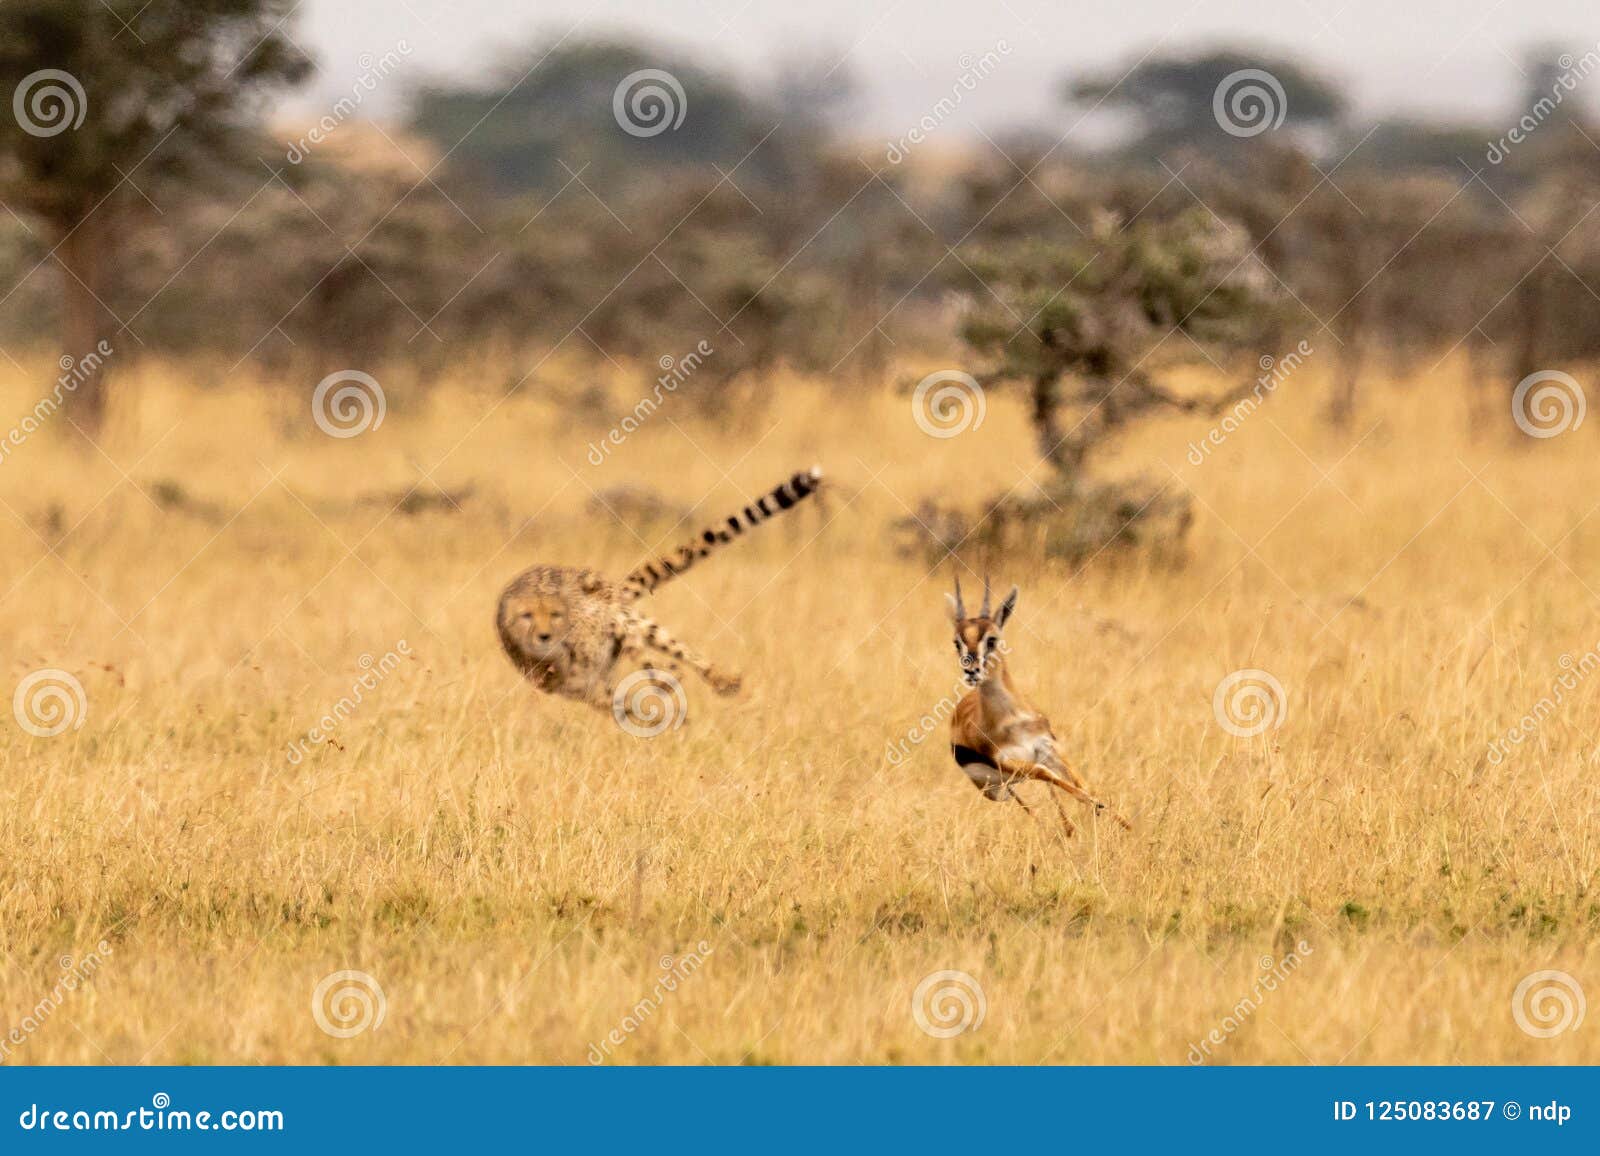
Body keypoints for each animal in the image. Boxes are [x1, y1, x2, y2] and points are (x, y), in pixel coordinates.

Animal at [946, 574, 1132, 835]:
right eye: (957, 642)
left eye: (991, 639)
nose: (971, 671)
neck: (1010, 719)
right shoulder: (1008, 761)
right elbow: (1048, 775)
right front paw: (1099, 807)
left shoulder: (1048, 746)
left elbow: (1082, 783)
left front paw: (1125, 822)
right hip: (997, 790)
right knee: (1029, 799)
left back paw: (1069, 828)